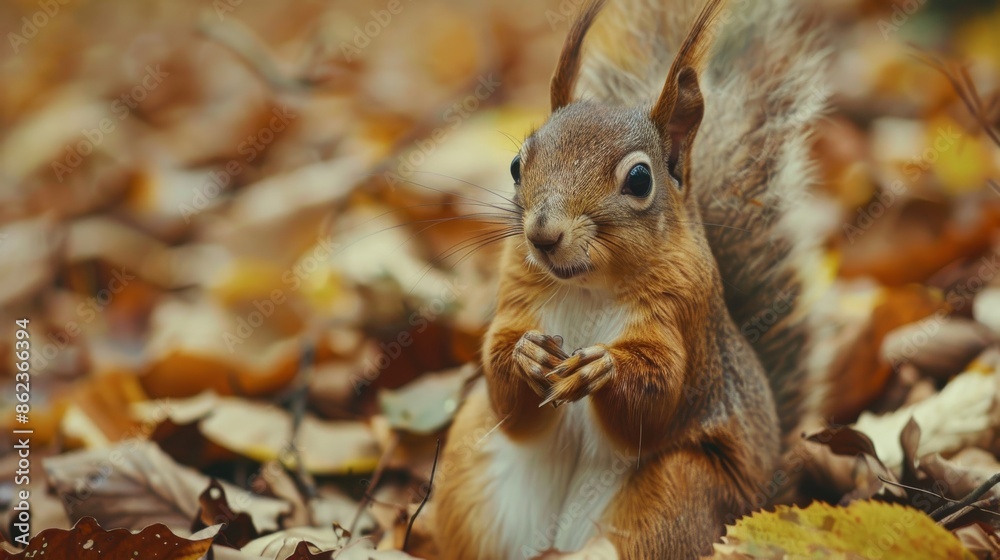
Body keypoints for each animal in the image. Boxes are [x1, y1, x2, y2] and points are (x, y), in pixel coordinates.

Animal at [433, 0, 830, 557]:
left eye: (640, 180)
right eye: (515, 165)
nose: (542, 233)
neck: (586, 287)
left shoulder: (683, 323)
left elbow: (656, 401)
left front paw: (603, 367)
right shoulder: (516, 299)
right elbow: (507, 396)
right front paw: (526, 354)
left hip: (679, 493)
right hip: (469, 477)